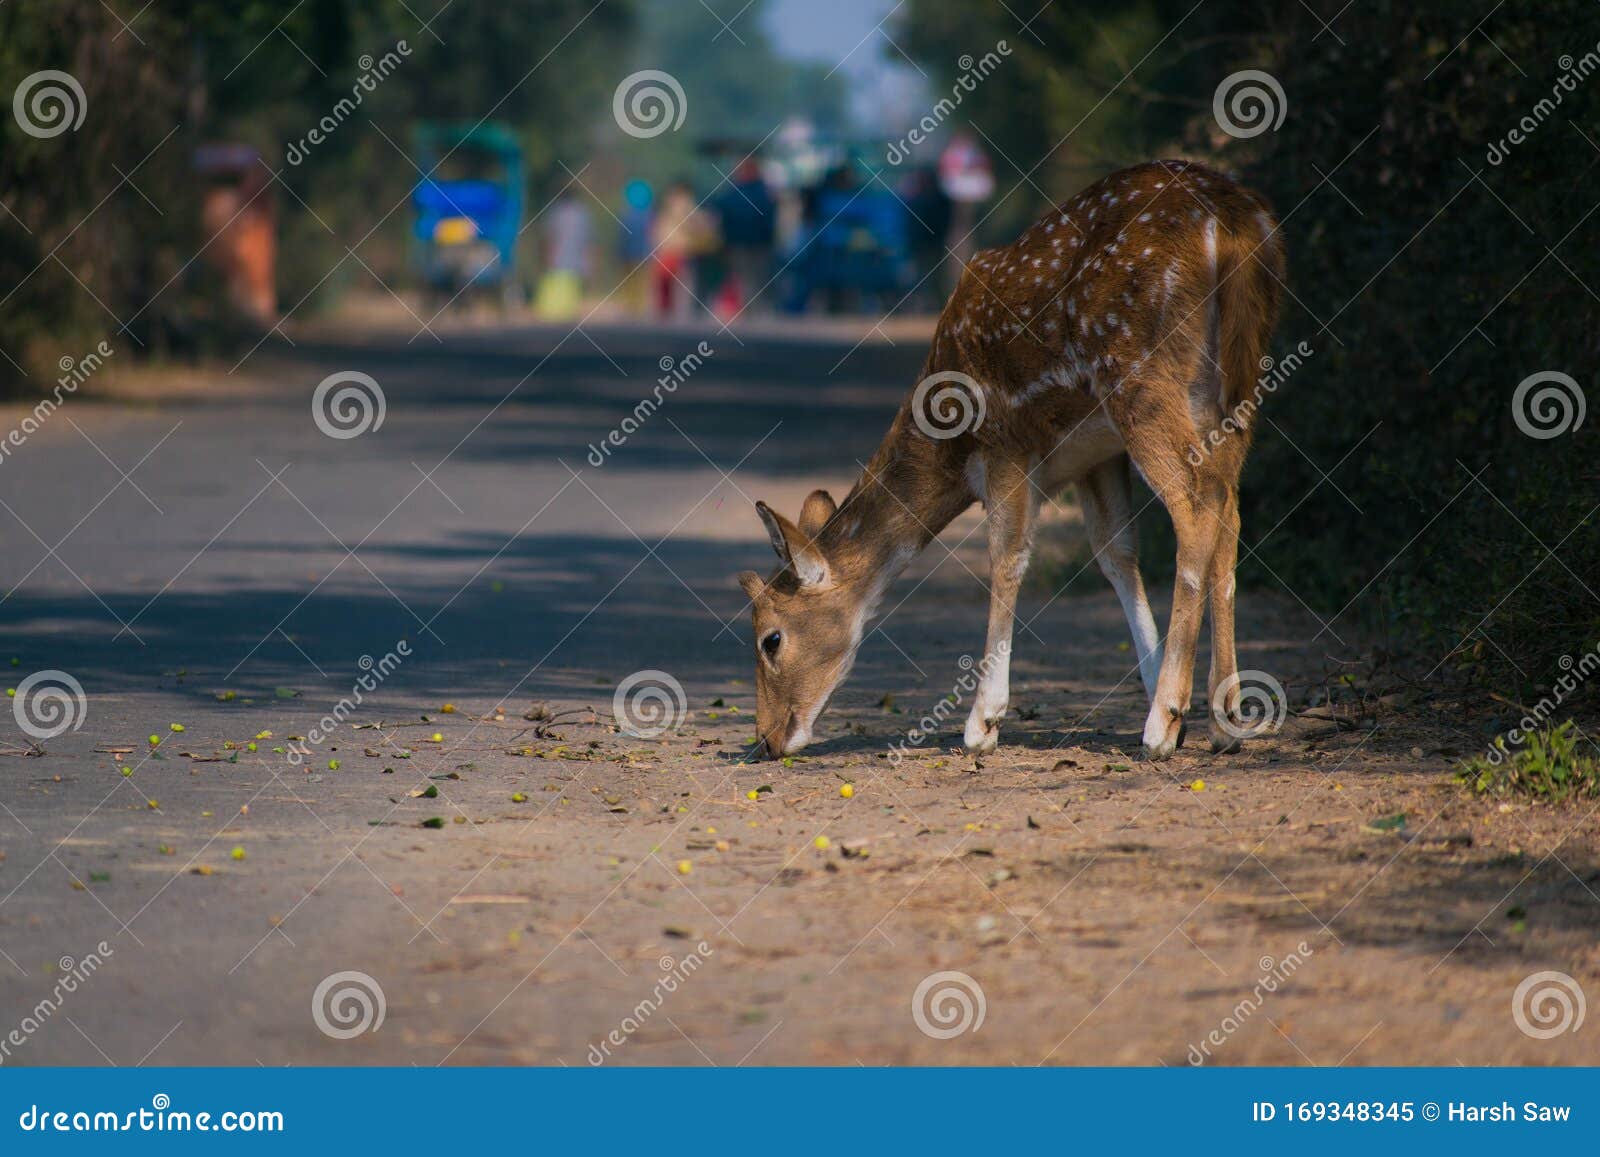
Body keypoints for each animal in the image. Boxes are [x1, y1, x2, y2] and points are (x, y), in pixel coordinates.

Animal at [738, 160, 1285, 763]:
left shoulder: (1005, 444)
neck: (949, 447)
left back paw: (1162, 725)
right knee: (1228, 507)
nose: (767, 739)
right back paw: (1225, 719)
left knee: (1196, 502)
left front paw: (982, 722)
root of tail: (1234, 220)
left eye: (770, 639)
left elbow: (1007, 558)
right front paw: (1158, 690)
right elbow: (1116, 555)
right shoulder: (1096, 456)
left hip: (1143, 375)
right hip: (1234, 386)